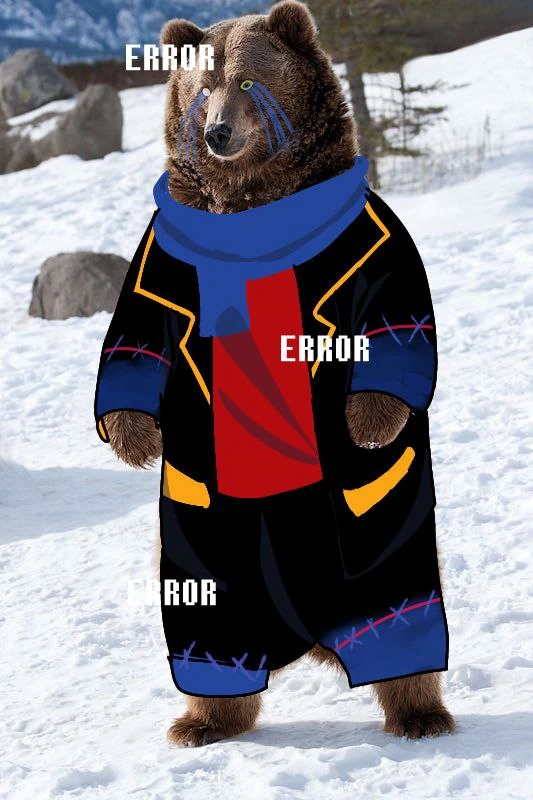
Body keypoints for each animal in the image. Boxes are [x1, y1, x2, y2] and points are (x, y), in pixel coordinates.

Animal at [95, 1, 455, 747]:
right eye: (202, 86)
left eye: (249, 81)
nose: (217, 132)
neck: (255, 206)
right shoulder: (165, 251)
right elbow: (138, 331)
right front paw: (134, 437)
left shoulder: (366, 236)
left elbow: (392, 312)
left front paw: (371, 418)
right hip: (203, 525)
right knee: (209, 608)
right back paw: (203, 718)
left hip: (369, 522)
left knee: (395, 595)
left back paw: (418, 710)